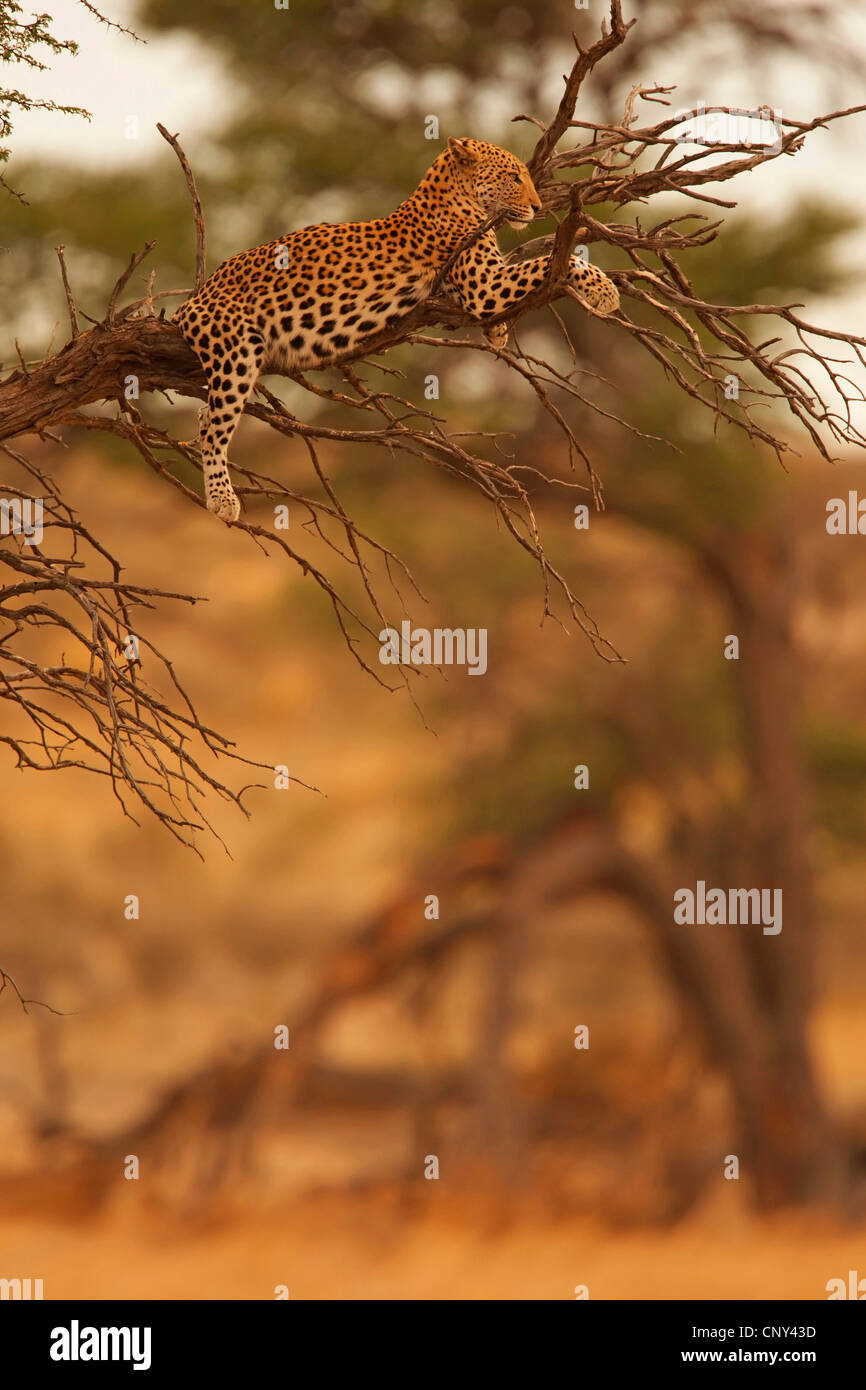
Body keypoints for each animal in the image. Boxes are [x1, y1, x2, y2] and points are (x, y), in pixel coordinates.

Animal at [172, 137, 620, 522]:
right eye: (513, 177)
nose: (537, 205)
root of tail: (194, 298)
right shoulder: (485, 285)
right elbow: (554, 260)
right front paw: (604, 290)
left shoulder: (488, 280)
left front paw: (498, 332)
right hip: (235, 349)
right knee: (214, 430)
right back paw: (222, 498)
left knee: (204, 418)